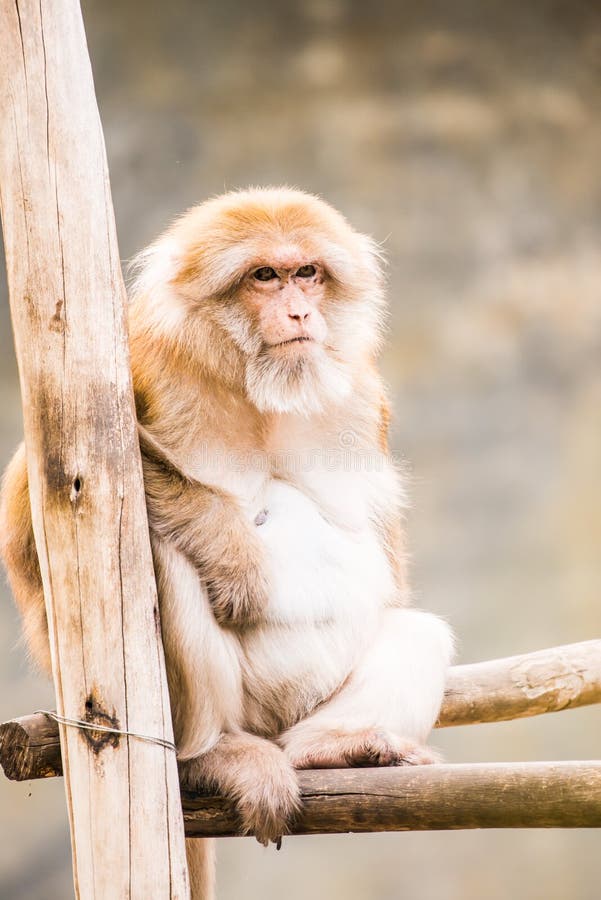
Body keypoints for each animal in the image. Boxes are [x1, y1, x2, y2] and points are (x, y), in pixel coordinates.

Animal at [0, 187, 454, 899]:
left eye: (307, 274)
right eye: (264, 276)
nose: (298, 311)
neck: (252, 385)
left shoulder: (357, 395)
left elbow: (379, 559)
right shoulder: (141, 370)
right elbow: (58, 491)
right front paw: (236, 559)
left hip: (299, 711)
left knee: (416, 632)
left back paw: (332, 747)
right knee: (158, 556)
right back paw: (211, 754)